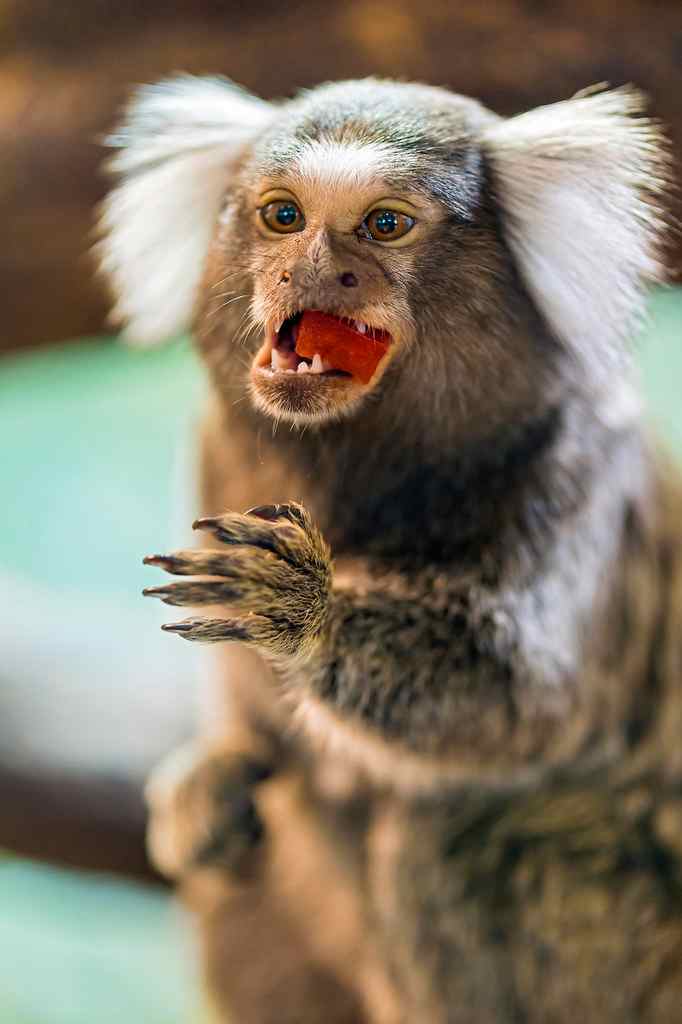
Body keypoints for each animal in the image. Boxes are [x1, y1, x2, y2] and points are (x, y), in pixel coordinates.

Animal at [99, 76, 682, 1022]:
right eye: (283, 216)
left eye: (384, 225)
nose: (311, 271)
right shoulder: (218, 453)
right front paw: (211, 773)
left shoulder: (571, 471)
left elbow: (528, 699)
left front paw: (306, 611)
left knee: (440, 837)